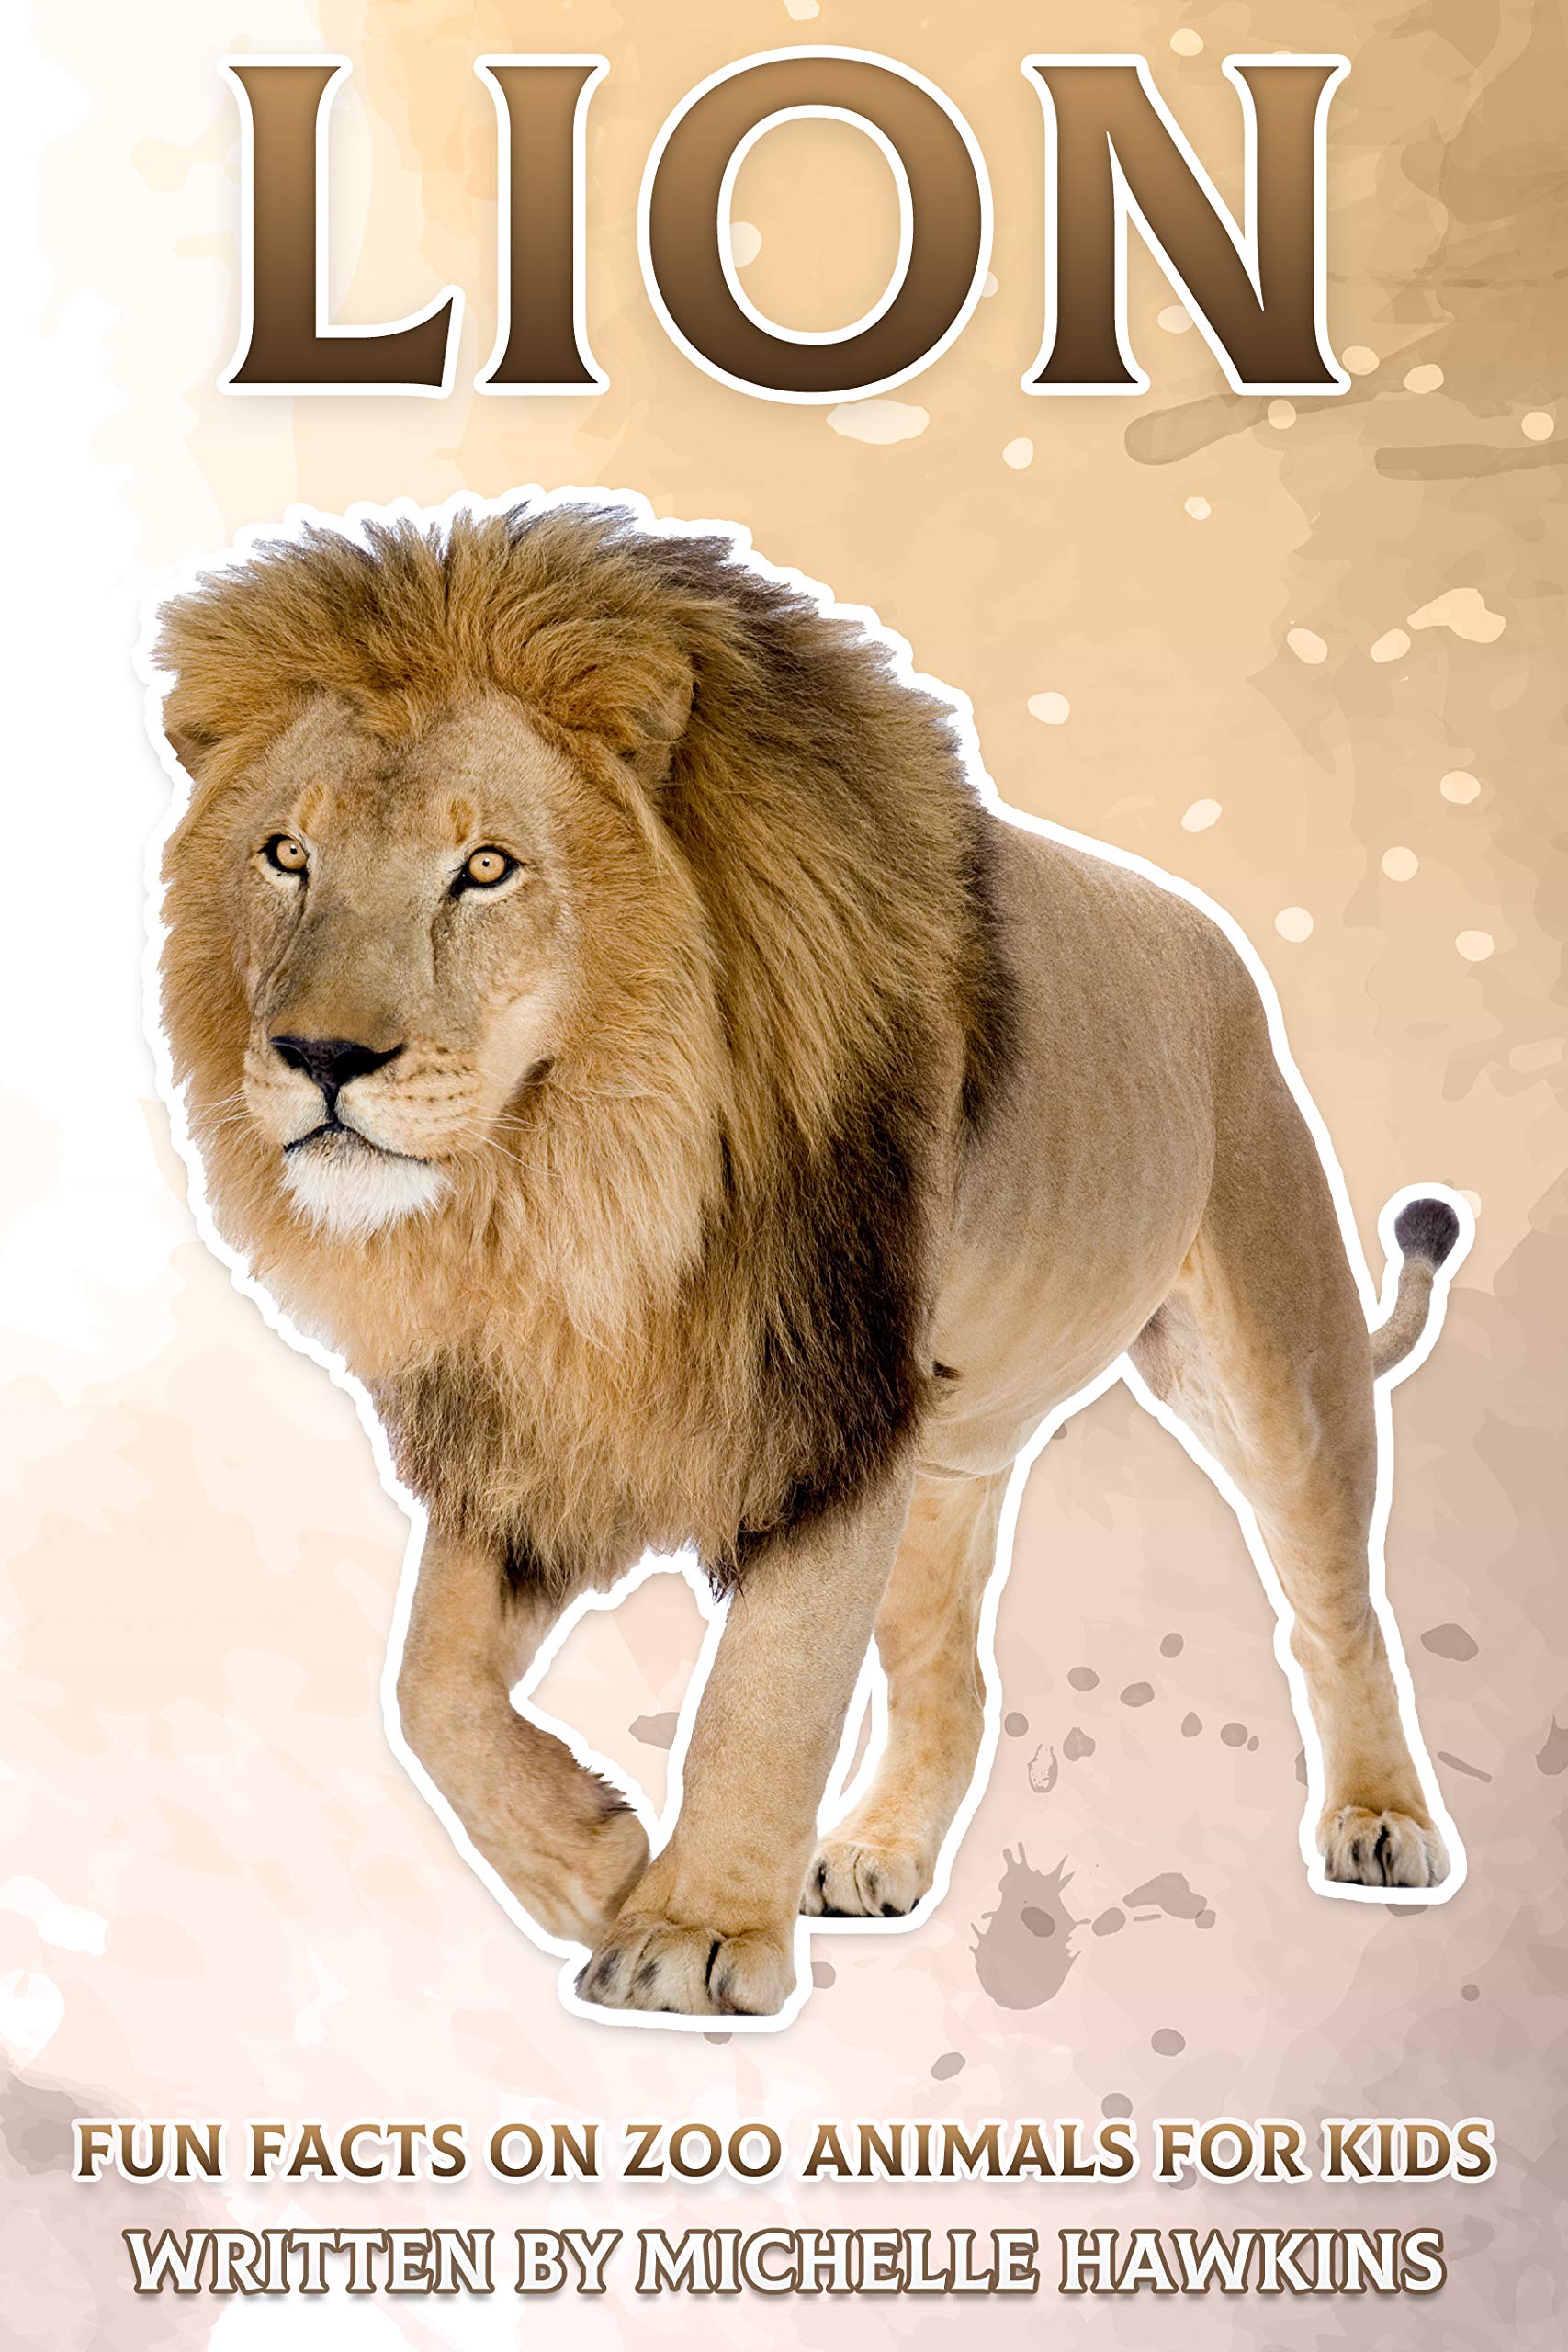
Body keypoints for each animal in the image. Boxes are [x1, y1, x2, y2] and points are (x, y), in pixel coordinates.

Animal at [153, 499, 1463, 2022]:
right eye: (284, 856)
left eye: (484, 869)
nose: (318, 1057)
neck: (582, 1197)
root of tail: (1218, 946)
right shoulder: (536, 1416)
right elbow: (428, 1683)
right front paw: (592, 1864)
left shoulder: (829, 1400)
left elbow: (764, 1691)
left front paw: (693, 1933)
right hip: (945, 1458)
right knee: (954, 1680)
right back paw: (874, 1852)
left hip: (1269, 1365)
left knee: (1335, 1609)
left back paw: (1380, 1823)